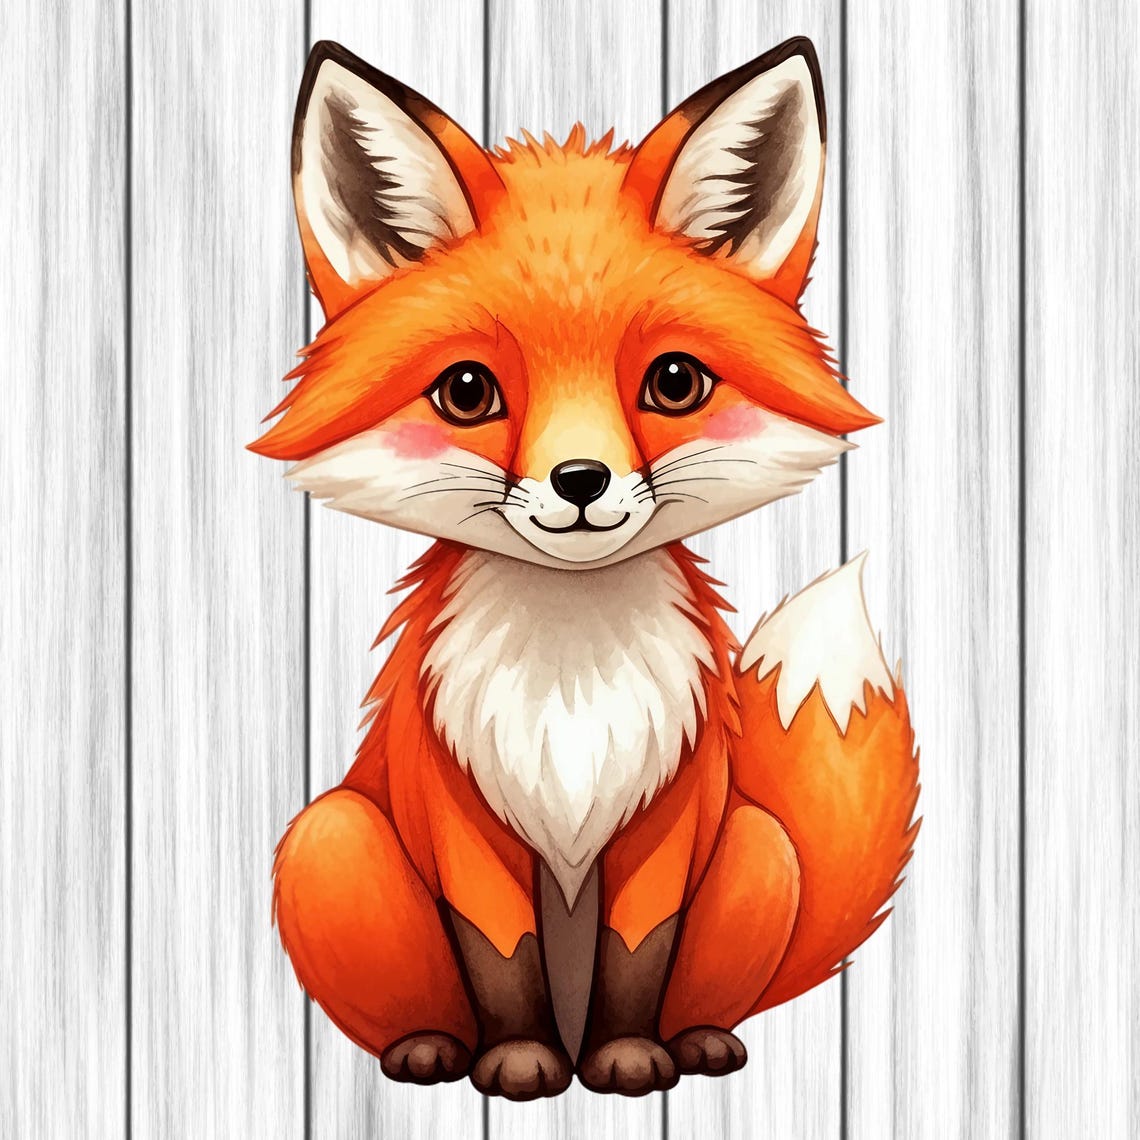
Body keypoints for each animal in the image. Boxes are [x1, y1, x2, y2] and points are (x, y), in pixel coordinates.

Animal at [251, 37, 920, 1101]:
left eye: (675, 382)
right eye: (468, 392)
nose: (579, 481)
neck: (569, 678)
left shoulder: (667, 813)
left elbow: (638, 950)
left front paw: (627, 1057)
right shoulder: (463, 812)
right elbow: (502, 955)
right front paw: (522, 1059)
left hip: (760, 844)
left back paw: (698, 1041)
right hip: (331, 838)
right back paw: (430, 1048)